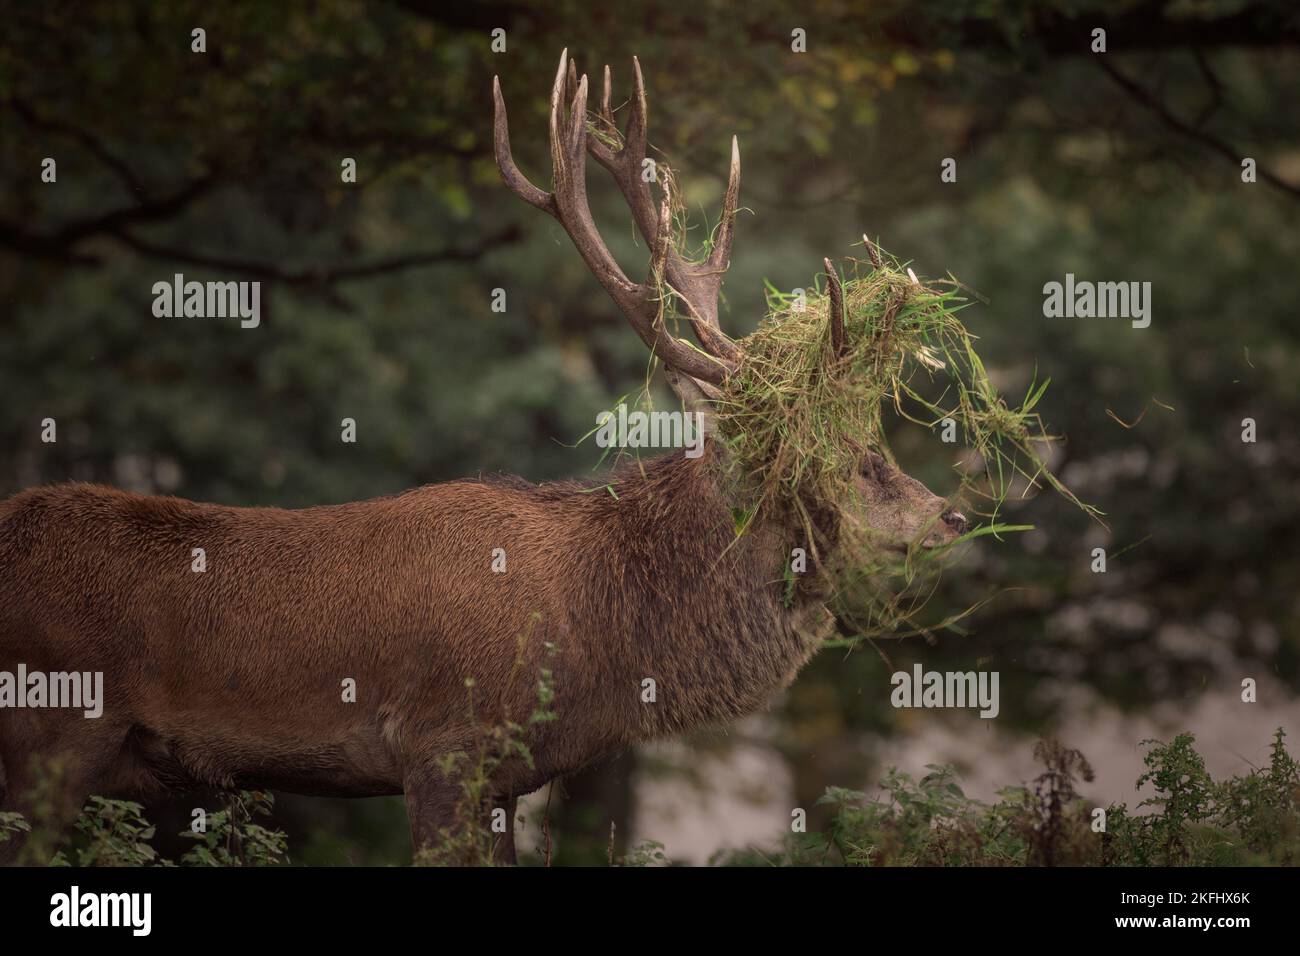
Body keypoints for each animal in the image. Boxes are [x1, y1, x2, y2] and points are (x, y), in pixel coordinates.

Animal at [0, 51, 965, 865]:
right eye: (819, 452)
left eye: (871, 439)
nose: (950, 513)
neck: (596, 644)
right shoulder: (442, 747)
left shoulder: (506, 781)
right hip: (51, 731)